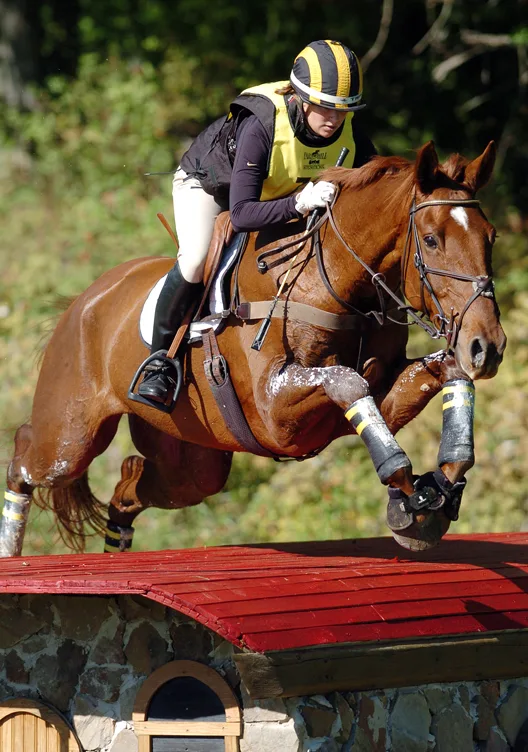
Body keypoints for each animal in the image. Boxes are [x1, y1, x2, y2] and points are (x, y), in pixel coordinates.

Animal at [2, 141, 506, 556]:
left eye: (491, 237)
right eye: (431, 240)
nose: (488, 347)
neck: (331, 279)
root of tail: (86, 298)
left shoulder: (377, 394)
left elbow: (444, 373)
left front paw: (439, 488)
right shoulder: (274, 413)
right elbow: (346, 380)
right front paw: (405, 490)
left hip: (193, 463)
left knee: (129, 483)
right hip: (70, 437)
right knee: (26, 457)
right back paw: (13, 556)